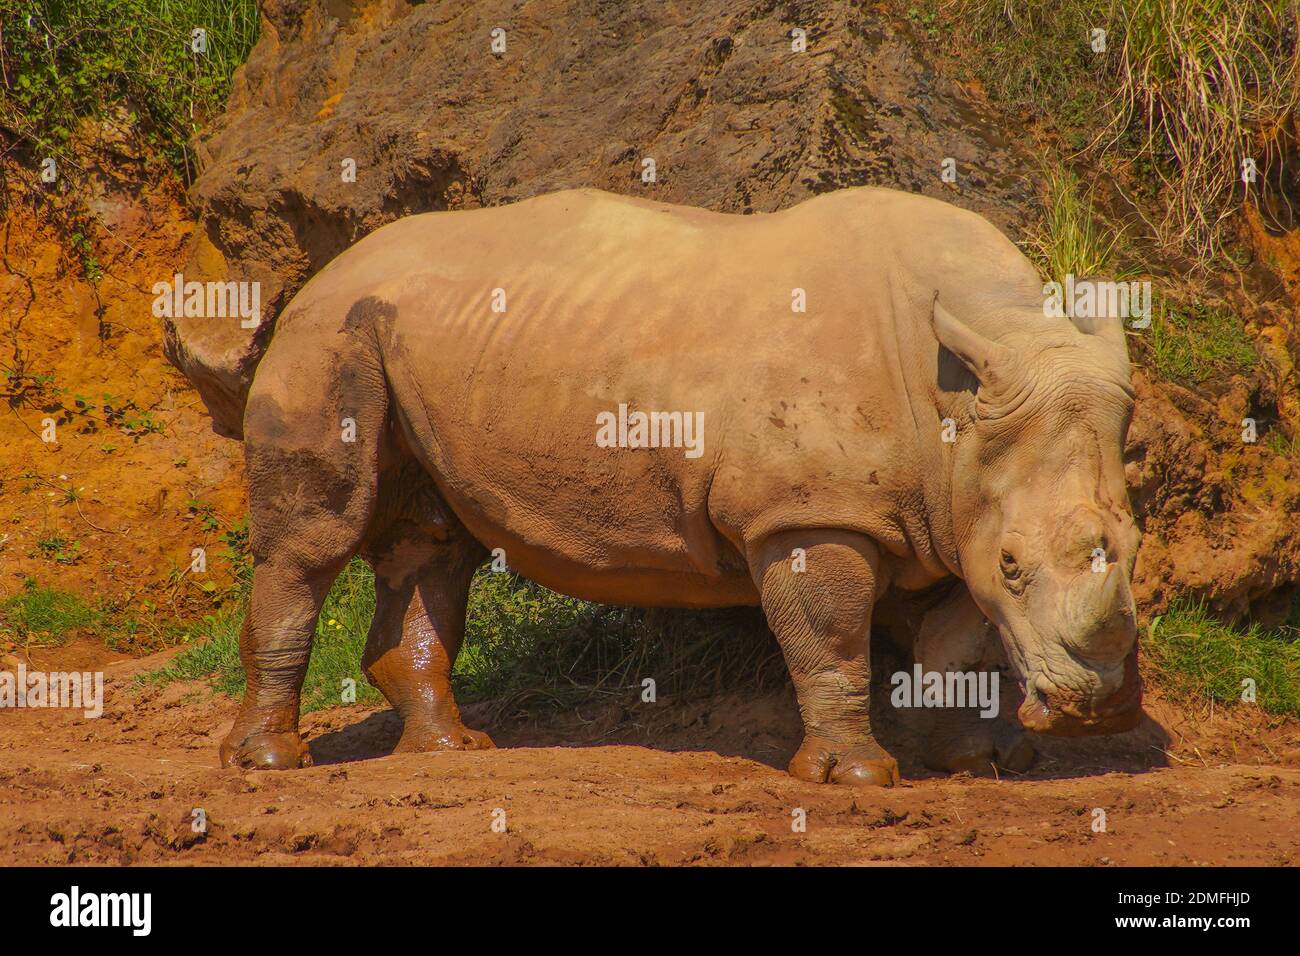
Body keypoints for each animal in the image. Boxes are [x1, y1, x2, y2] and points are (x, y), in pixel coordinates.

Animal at [178, 187, 1143, 785]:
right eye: (1016, 564)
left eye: (1134, 550)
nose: (1096, 712)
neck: (964, 396)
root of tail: (317, 274)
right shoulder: (809, 513)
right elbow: (831, 639)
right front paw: (859, 777)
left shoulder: (950, 505)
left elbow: (956, 642)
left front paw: (980, 763)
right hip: (326, 335)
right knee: (313, 544)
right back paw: (270, 765)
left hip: (406, 337)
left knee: (432, 545)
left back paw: (451, 750)